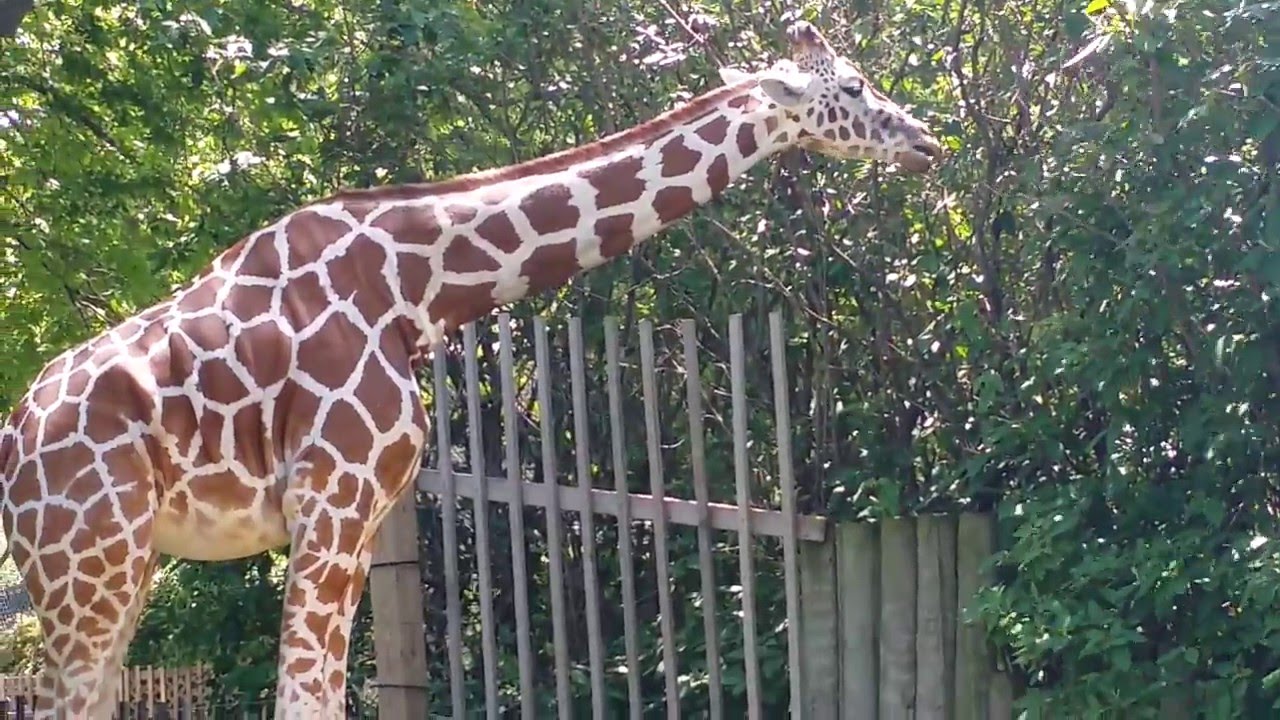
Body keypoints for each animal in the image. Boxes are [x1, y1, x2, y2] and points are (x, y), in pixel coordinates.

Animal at [0, 20, 941, 719]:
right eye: (855, 87)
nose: (926, 142)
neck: (415, 289)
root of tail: (12, 439)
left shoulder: (364, 515)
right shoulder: (330, 504)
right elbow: (306, 697)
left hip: (113, 568)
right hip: (90, 560)